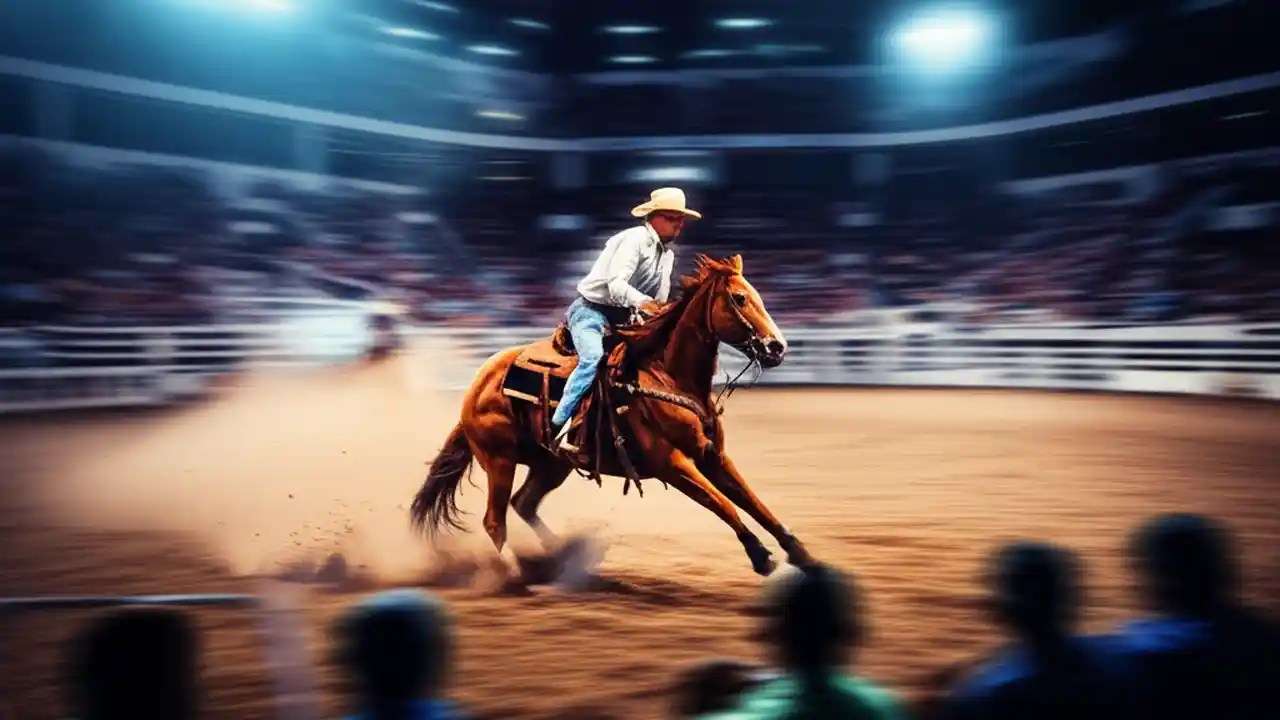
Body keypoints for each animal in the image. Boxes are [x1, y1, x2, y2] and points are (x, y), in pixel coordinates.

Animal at [408, 254, 815, 577]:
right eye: (740, 298)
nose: (777, 347)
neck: (669, 375)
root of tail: (478, 384)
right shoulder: (673, 464)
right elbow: (724, 504)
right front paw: (760, 555)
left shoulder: (713, 456)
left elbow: (754, 502)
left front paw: (802, 555)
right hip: (499, 460)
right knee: (495, 521)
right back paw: (514, 572)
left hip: (551, 463)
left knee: (523, 504)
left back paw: (559, 559)